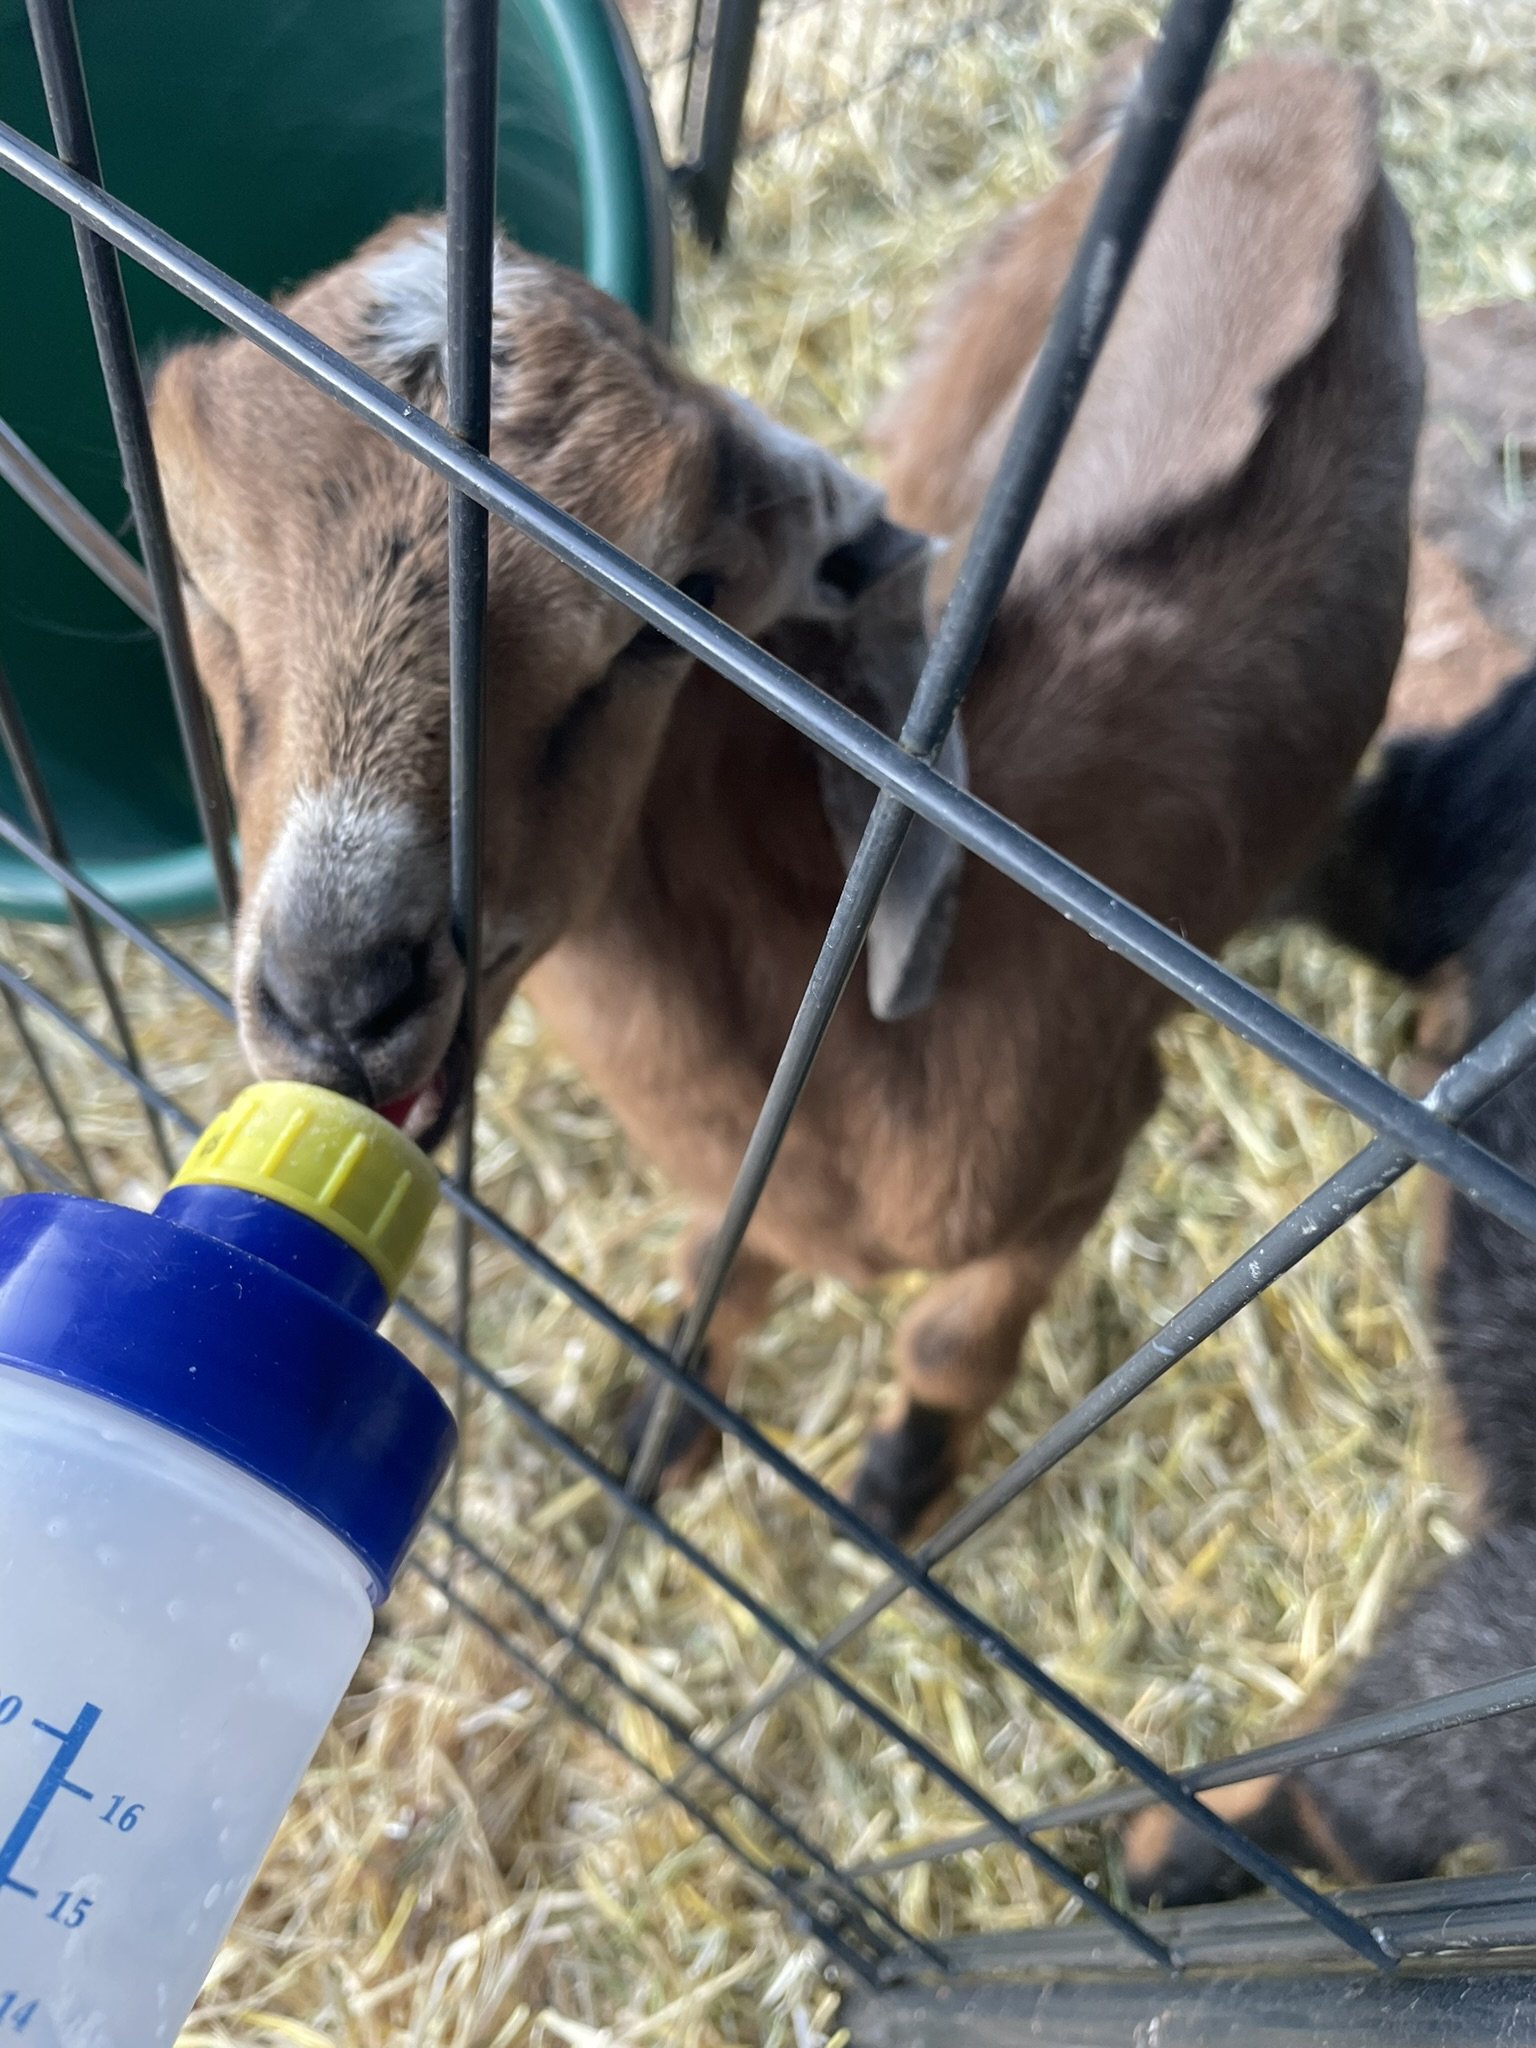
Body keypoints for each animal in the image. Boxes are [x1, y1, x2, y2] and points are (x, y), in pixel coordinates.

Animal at [150, 45, 1423, 1539]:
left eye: (669, 611)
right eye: (201, 578)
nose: (341, 998)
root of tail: (1304, 73)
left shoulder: (1098, 1131)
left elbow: (949, 1336)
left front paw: (896, 1476)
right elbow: (720, 1261)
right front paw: (657, 1427)